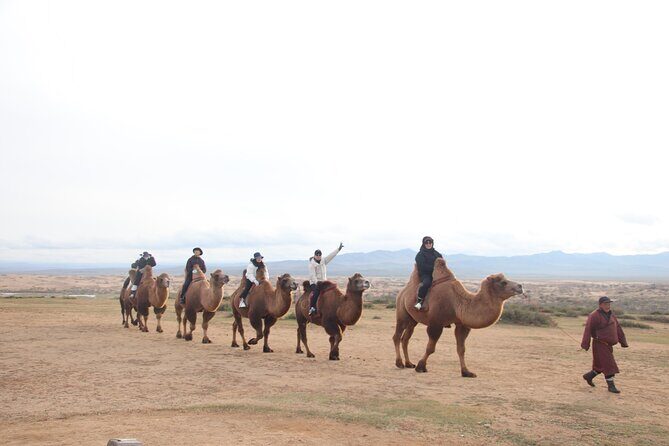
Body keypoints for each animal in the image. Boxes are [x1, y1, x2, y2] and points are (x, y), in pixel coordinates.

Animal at [393, 258, 523, 374]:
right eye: (503, 282)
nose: (520, 286)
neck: (457, 302)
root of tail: (403, 291)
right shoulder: (436, 323)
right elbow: (430, 348)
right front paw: (421, 367)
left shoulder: (462, 324)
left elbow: (461, 349)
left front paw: (466, 372)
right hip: (402, 311)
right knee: (397, 336)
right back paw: (399, 363)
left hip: (413, 320)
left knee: (406, 338)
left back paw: (409, 363)